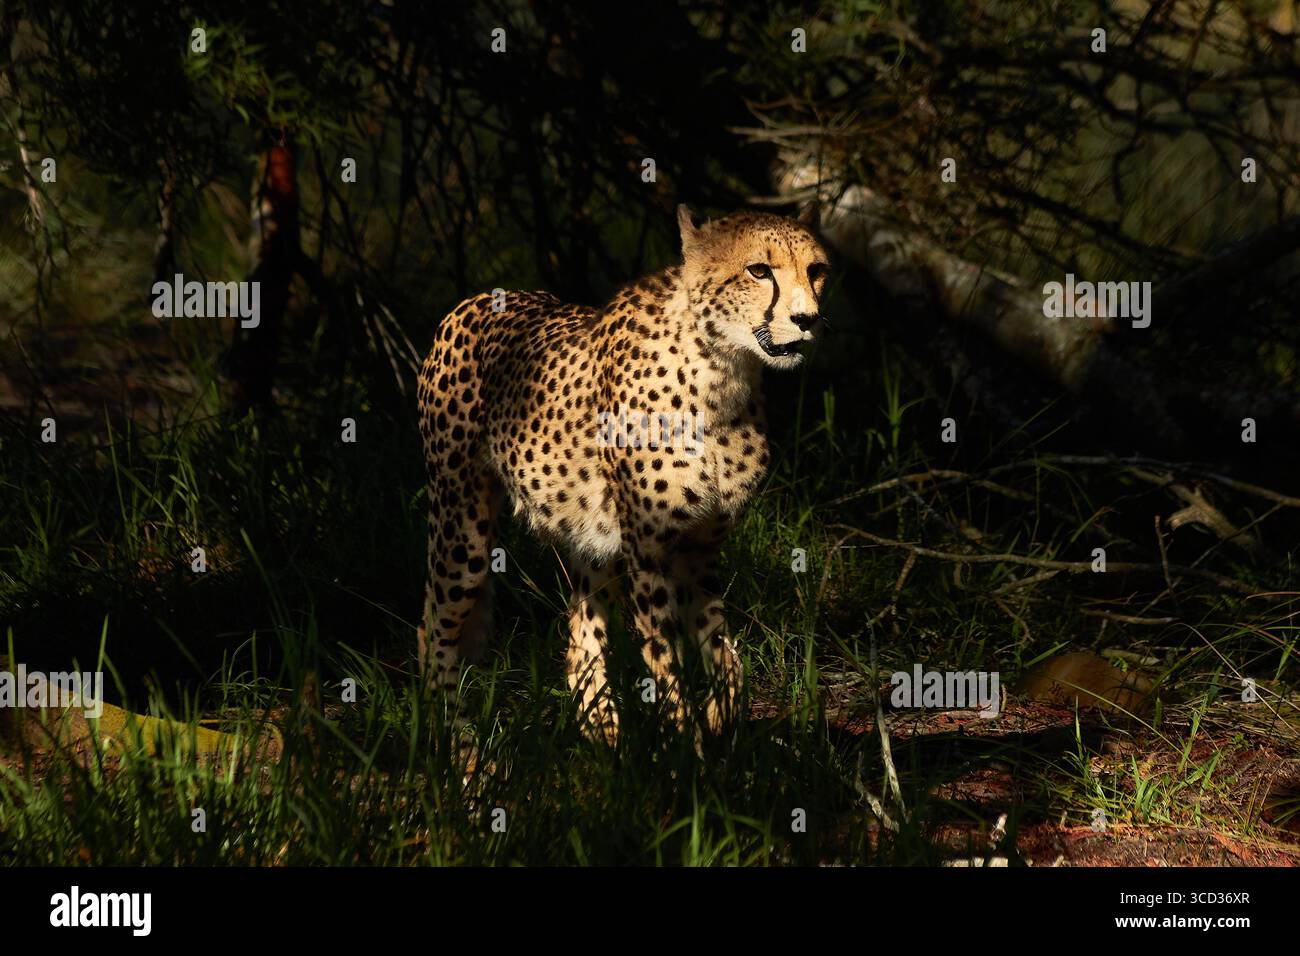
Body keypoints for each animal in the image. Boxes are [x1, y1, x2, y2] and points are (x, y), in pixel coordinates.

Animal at [415, 204, 830, 747]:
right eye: (759, 270)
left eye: (816, 270)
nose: (807, 320)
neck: (723, 372)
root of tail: (476, 299)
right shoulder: (648, 552)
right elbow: (667, 664)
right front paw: (687, 751)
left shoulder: (699, 550)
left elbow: (725, 655)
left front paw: (720, 721)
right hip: (461, 522)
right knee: (433, 632)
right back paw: (461, 750)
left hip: (590, 538)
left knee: (579, 640)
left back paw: (606, 740)